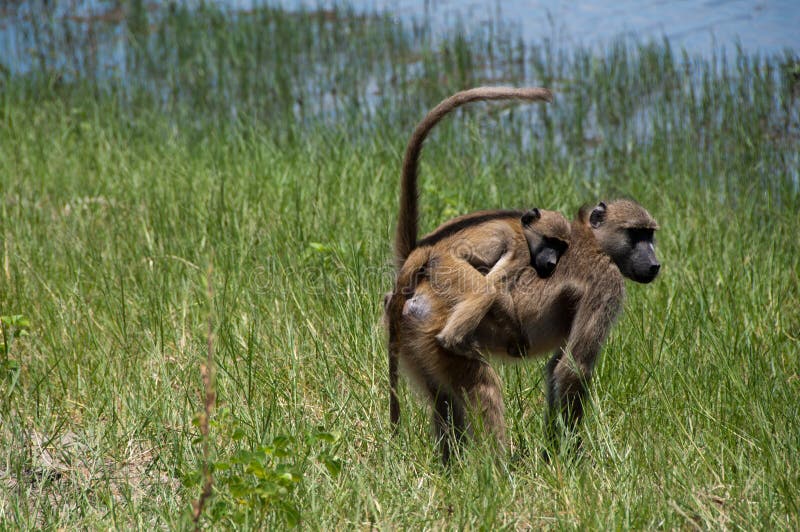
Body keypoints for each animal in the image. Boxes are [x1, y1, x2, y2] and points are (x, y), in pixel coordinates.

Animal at [395, 198, 660, 462]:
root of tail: (415, 295)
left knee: (444, 401)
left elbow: (556, 367)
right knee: (485, 388)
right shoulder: (607, 282)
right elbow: (574, 368)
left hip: (416, 341)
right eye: (636, 233)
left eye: (649, 234)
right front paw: (568, 458)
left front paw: (551, 455)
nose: (655, 264)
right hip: (438, 332)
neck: (592, 239)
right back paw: (496, 469)